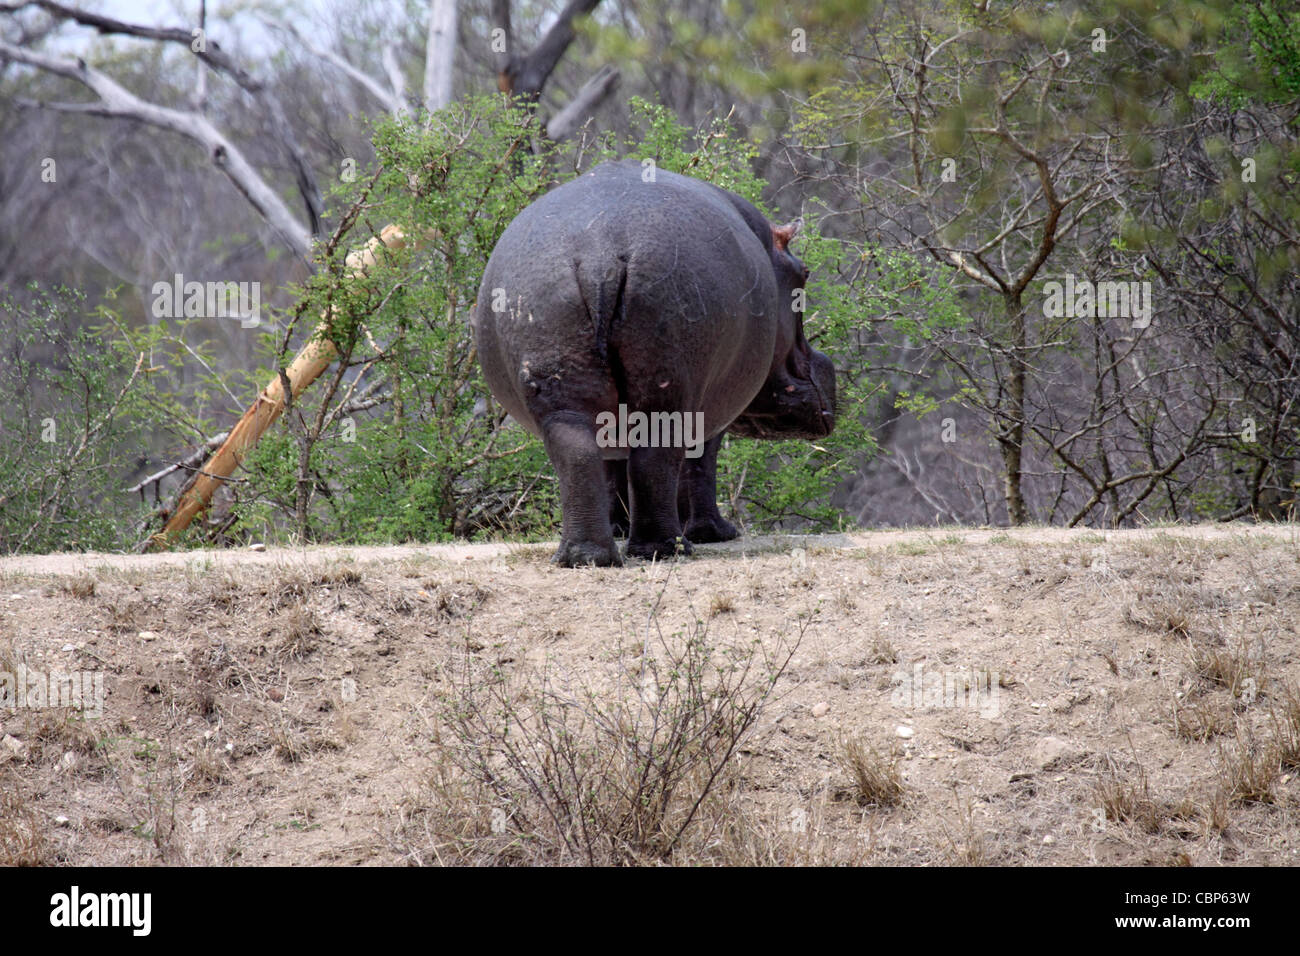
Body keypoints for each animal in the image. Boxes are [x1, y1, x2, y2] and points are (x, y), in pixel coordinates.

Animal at [472, 159, 836, 566]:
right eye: (805, 273)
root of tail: (599, 254)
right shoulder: (708, 408)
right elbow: (699, 463)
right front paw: (715, 533)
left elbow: (612, 466)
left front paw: (619, 527)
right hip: (670, 380)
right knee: (657, 459)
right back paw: (668, 548)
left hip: (559, 374)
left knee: (577, 454)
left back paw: (588, 556)